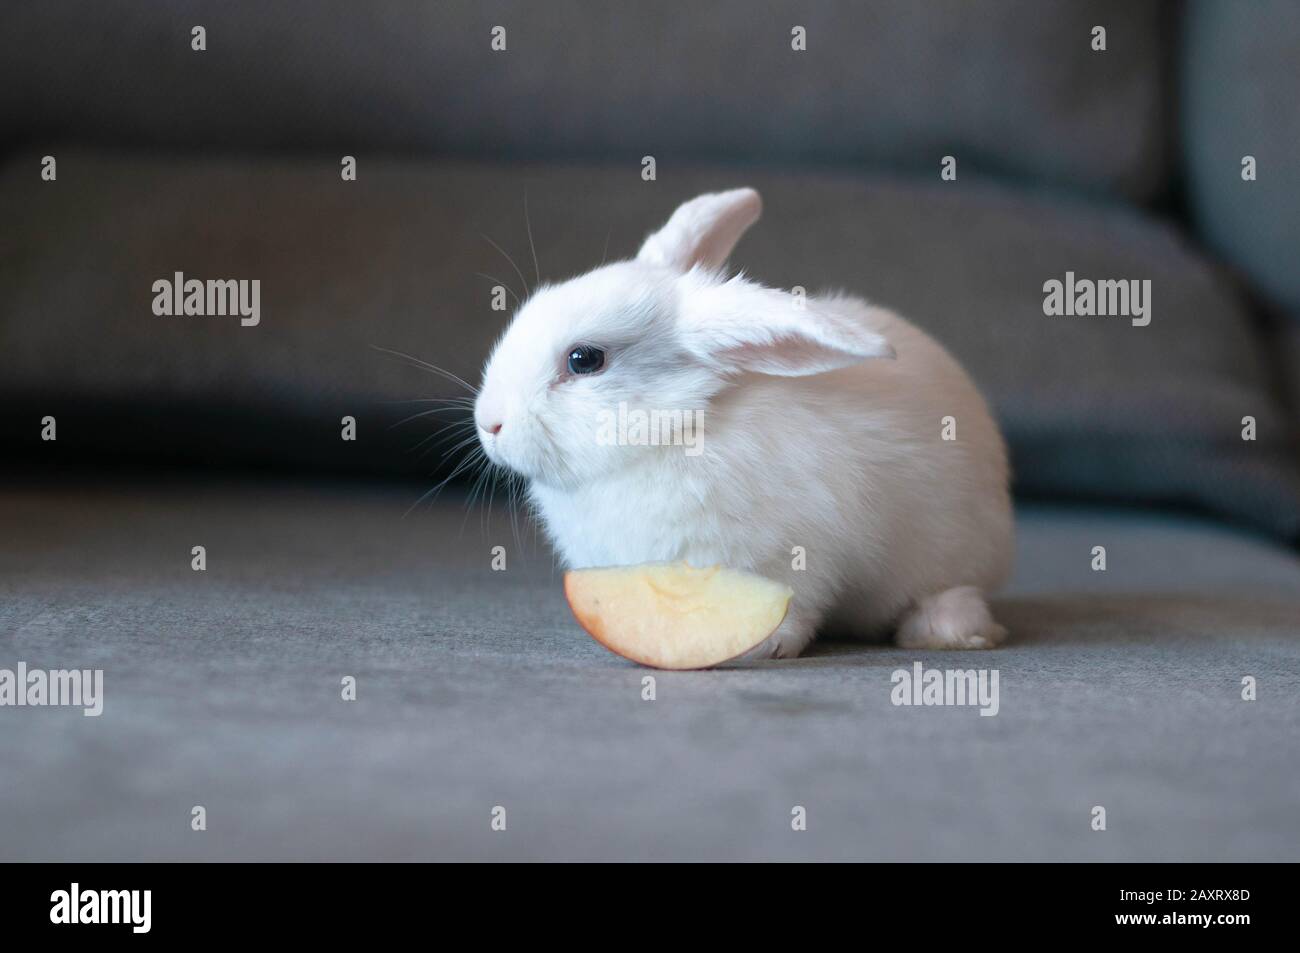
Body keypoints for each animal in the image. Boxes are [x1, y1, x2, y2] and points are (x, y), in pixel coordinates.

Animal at [474, 188, 1014, 658]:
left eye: (584, 360)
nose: (489, 424)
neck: (679, 429)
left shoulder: (797, 555)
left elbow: (795, 605)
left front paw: (764, 646)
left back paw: (947, 630)